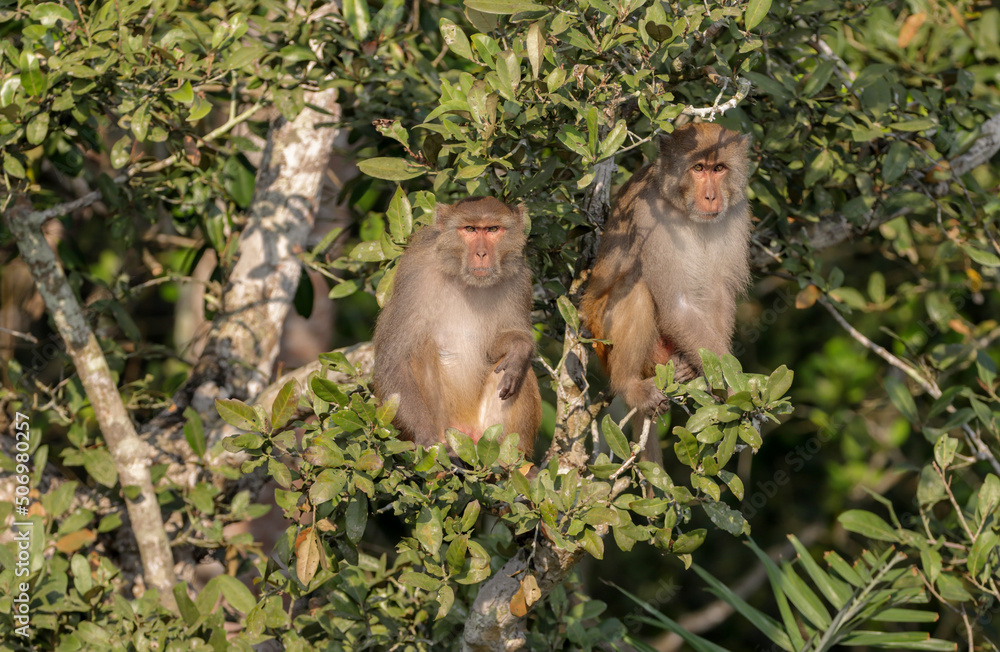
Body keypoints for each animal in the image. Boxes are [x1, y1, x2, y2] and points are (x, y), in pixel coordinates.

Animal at [372, 196, 541, 459]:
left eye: (492, 229)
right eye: (470, 229)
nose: (481, 253)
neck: (465, 281)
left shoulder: (520, 279)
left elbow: (501, 348)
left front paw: (520, 349)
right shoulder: (414, 273)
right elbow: (394, 359)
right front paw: (426, 438)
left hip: (487, 433)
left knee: (519, 372)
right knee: (420, 347)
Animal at [580, 122, 752, 463]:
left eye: (719, 168)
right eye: (698, 169)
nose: (711, 196)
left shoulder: (737, 214)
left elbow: (718, 293)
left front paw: (719, 379)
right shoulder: (651, 215)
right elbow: (676, 306)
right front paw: (733, 386)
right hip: (603, 339)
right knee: (637, 289)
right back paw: (630, 386)